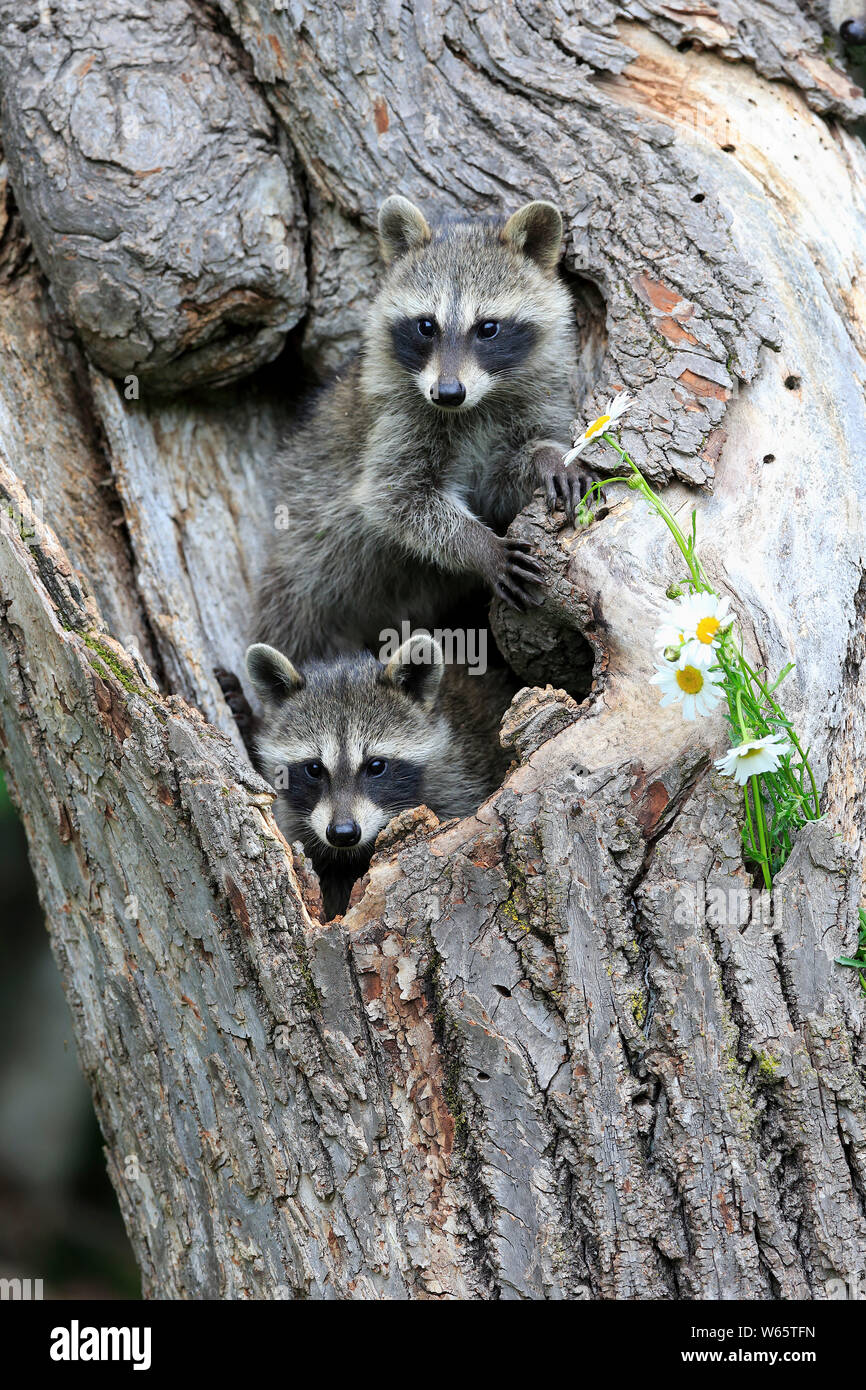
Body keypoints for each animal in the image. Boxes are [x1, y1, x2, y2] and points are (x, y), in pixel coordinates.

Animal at [256, 196, 585, 663]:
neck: (476, 405)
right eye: (426, 325)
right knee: (290, 607)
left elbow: (501, 482)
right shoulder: (396, 417)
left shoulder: (535, 397)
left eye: (488, 328)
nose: (447, 393)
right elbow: (397, 497)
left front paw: (547, 457)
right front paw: (478, 546)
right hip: (303, 547)